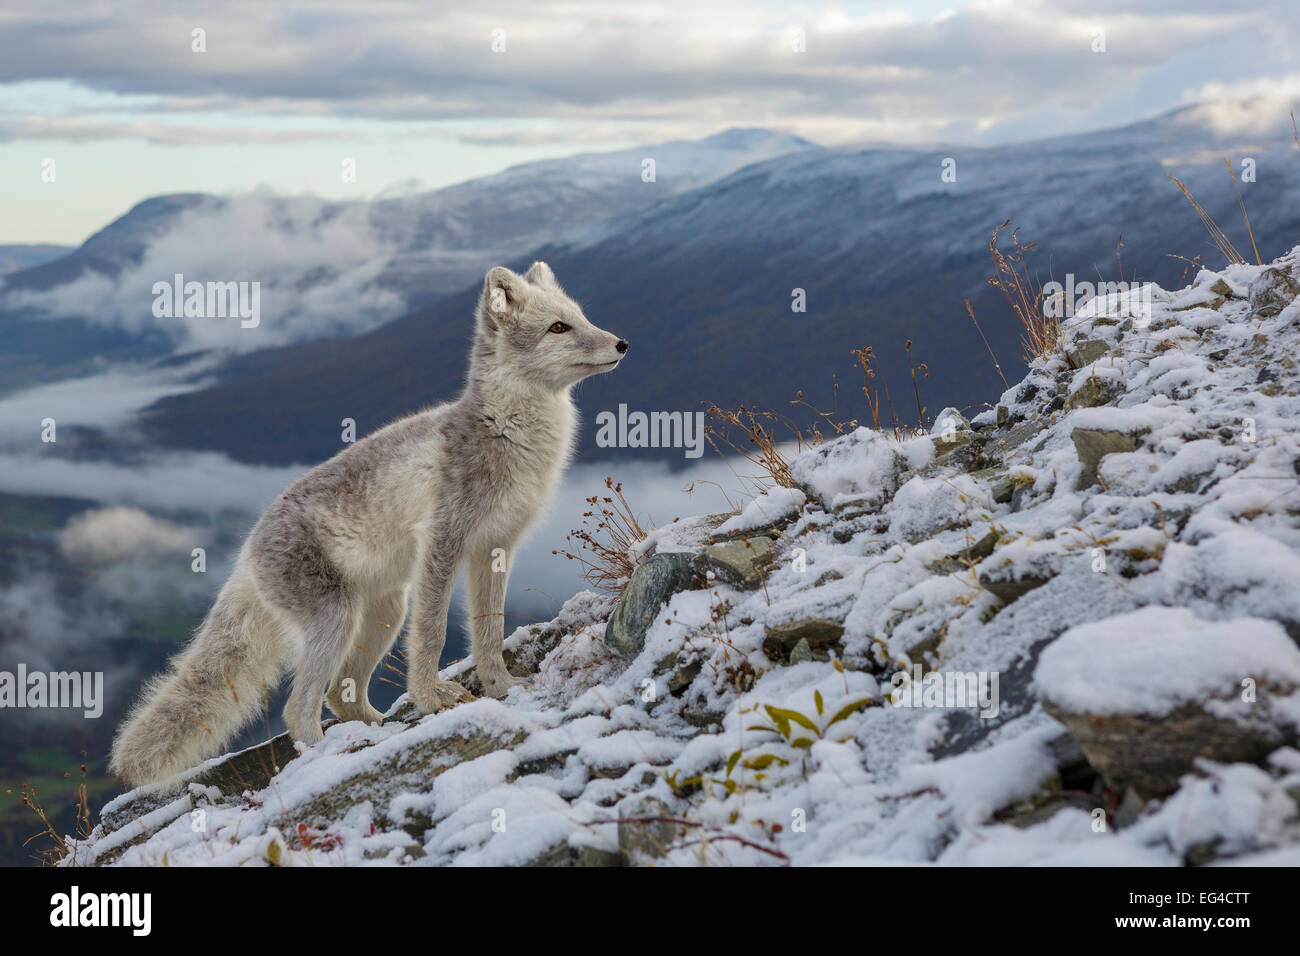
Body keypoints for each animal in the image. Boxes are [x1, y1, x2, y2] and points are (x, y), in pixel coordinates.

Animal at [110, 261, 627, 789]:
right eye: (558, 328)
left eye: (581, 317)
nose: (622, 343)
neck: (507, 431)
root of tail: (246, 551)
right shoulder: (443, 545)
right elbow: (434, 635)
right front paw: (431, 699)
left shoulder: (496, 549)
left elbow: (489, 632)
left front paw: (502, 687)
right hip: (339, 619)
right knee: (300, 708)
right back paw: (326, 756)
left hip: (384, 612)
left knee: (341, 696)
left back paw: (375, 731)